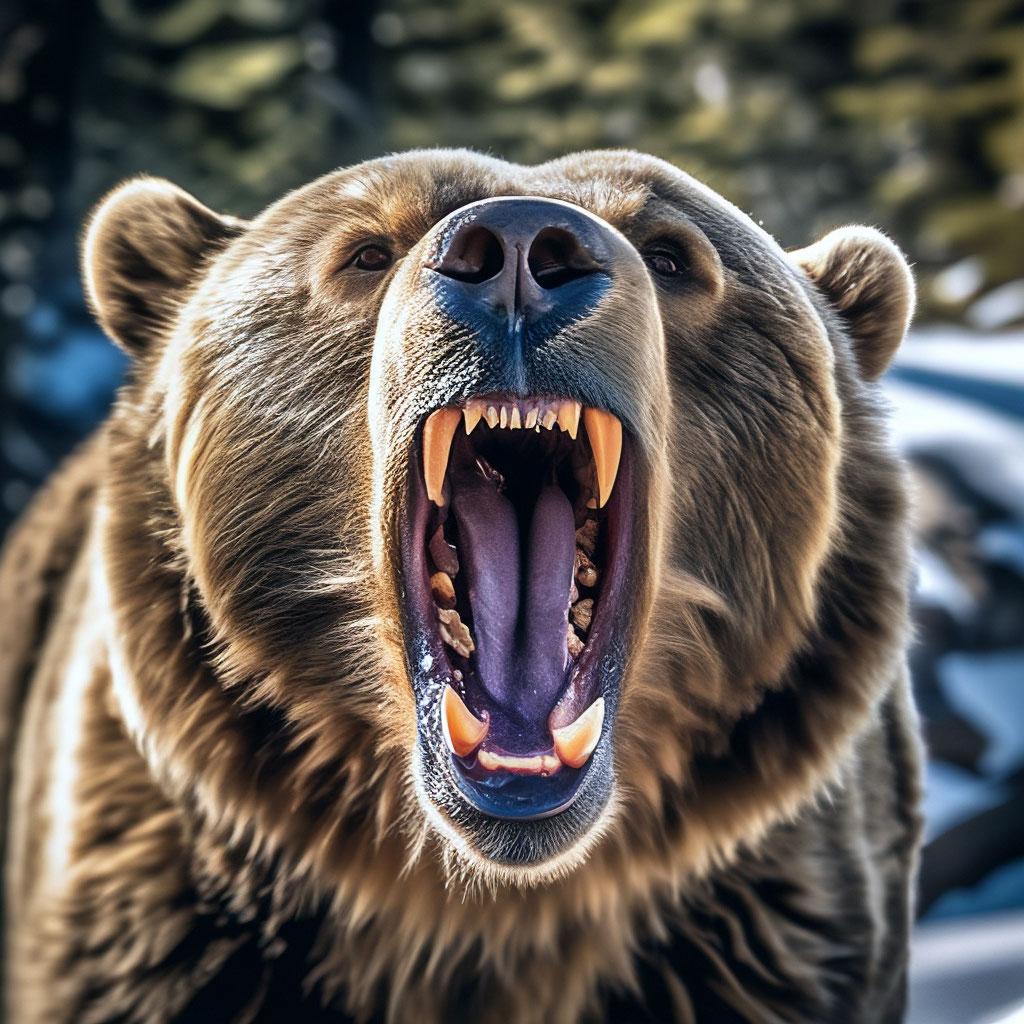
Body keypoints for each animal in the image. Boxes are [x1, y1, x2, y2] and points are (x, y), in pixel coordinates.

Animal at [0, 149, 922, 1024]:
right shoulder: (168, 925)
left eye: (671, 255)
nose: (520, 246)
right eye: (367, 253)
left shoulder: (768, 932)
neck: (478, 900)